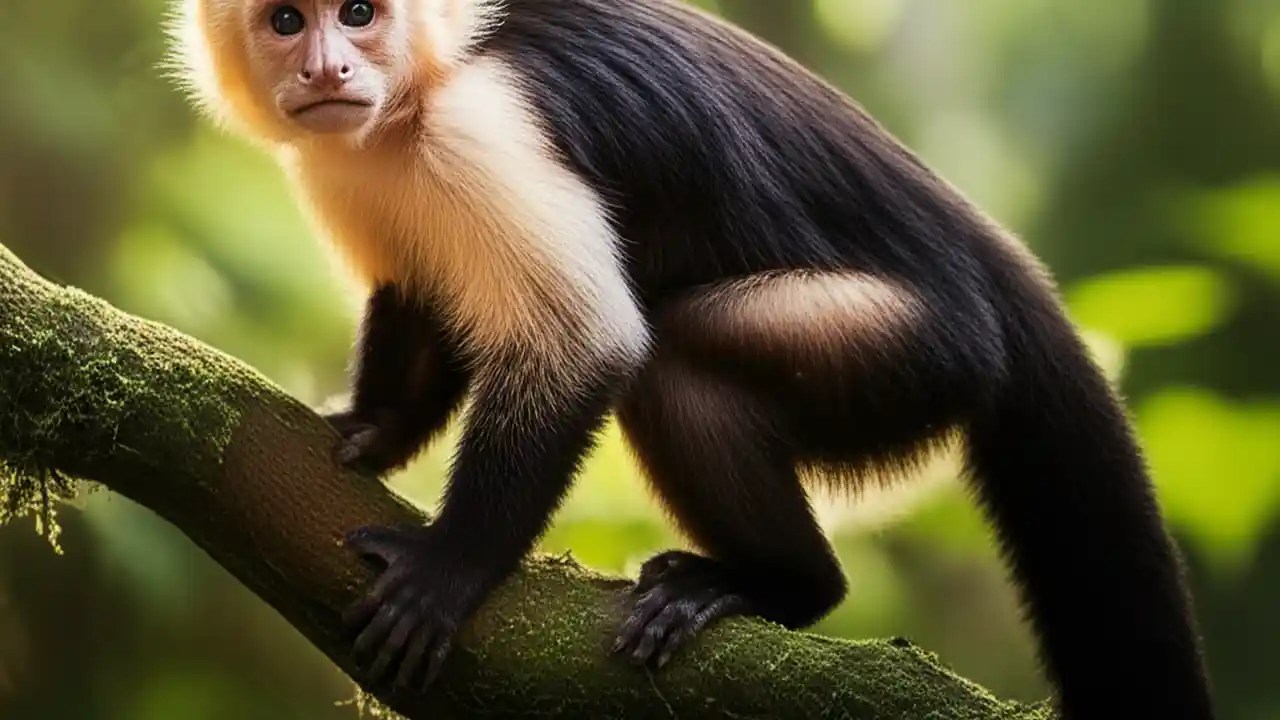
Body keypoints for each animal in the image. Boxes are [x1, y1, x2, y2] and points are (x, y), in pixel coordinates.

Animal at [169, 0, 1215, 717]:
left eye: (358, 12)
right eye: (287, 20)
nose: (329, 65)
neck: (424, 85)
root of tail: (996, 260)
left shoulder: (486, 124)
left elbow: (584, 344)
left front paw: (449, 569)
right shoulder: (347, 160)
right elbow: (422, 298)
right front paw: (369, 430)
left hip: (922, 351)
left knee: (673, 361)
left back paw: (781, 586)